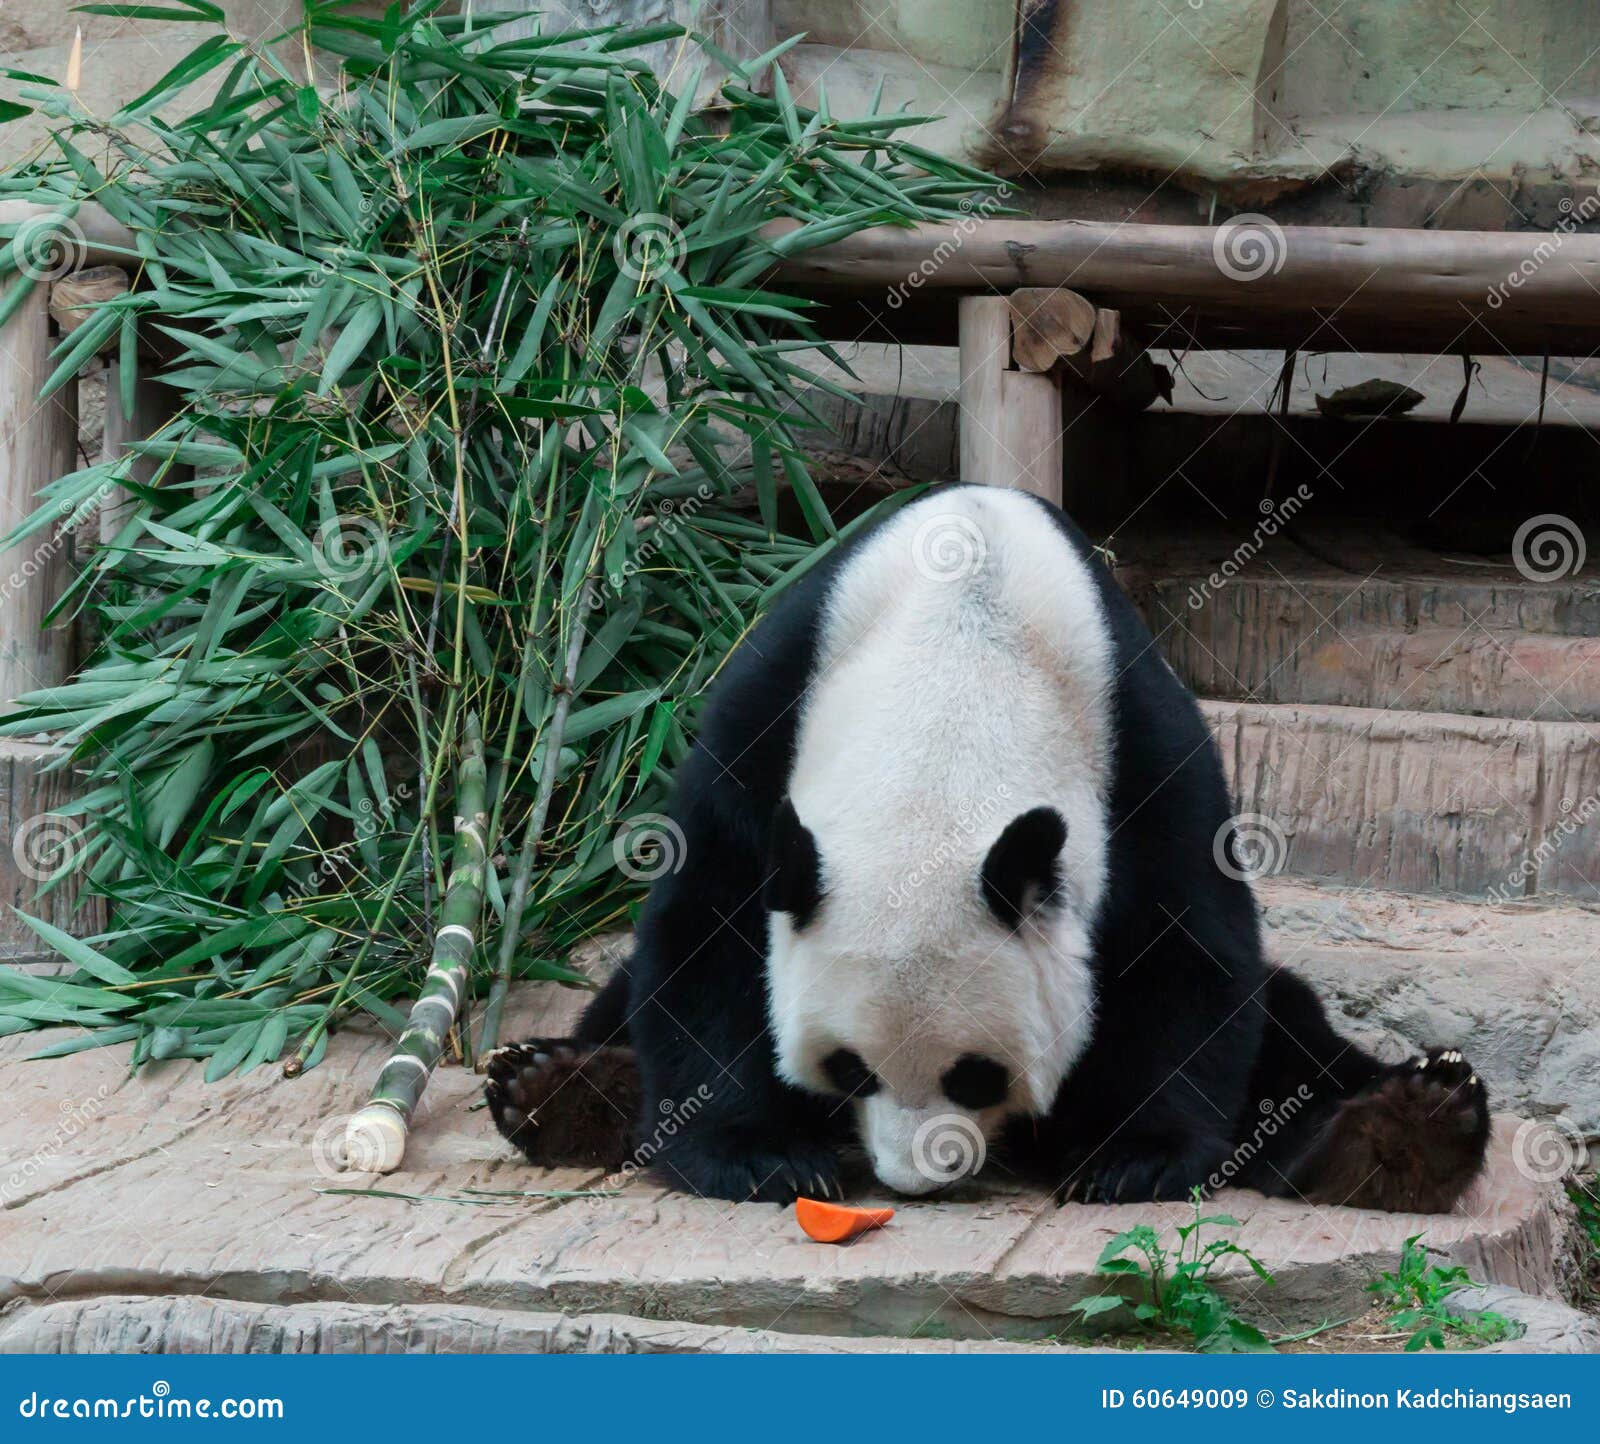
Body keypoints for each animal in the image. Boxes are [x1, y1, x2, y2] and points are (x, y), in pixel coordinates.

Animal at [486, 484, 1491, 1210]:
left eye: (975, 1076)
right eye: (848, 1069)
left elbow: (1184, 942)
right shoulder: (769, 713)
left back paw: (1407, 1129)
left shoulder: (1141, 744)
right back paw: (555, 1090)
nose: (912, 1180)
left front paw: (1134, 1158)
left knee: (1291, 1030)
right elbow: (712, 919)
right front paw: (759, 1155)